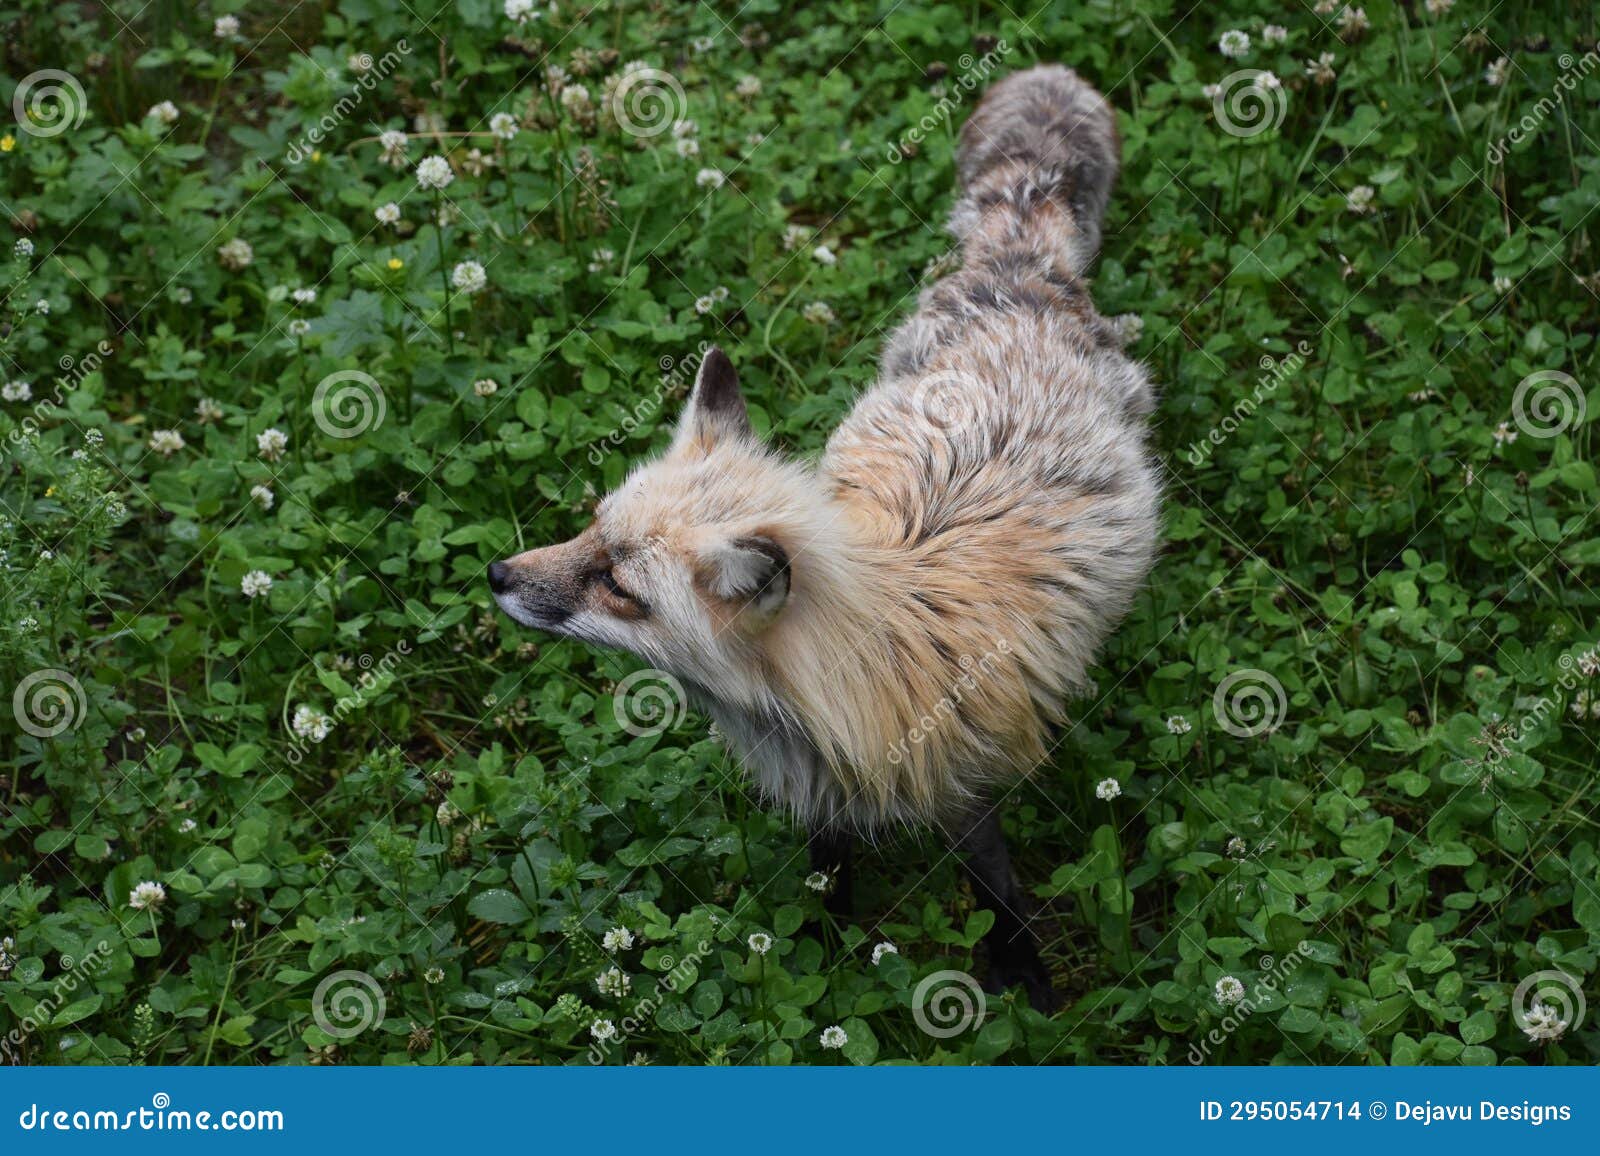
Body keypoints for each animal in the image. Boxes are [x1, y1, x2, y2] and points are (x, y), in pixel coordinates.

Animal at [488, 65, 1161, 1009]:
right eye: (589, 531)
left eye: (620, 585)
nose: (496, 573)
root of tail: (1016, 277)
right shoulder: (823, 793)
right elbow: (827, 871)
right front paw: (826, 941)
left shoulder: (964, 777)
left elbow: (995, 884)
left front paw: (1023, 972)